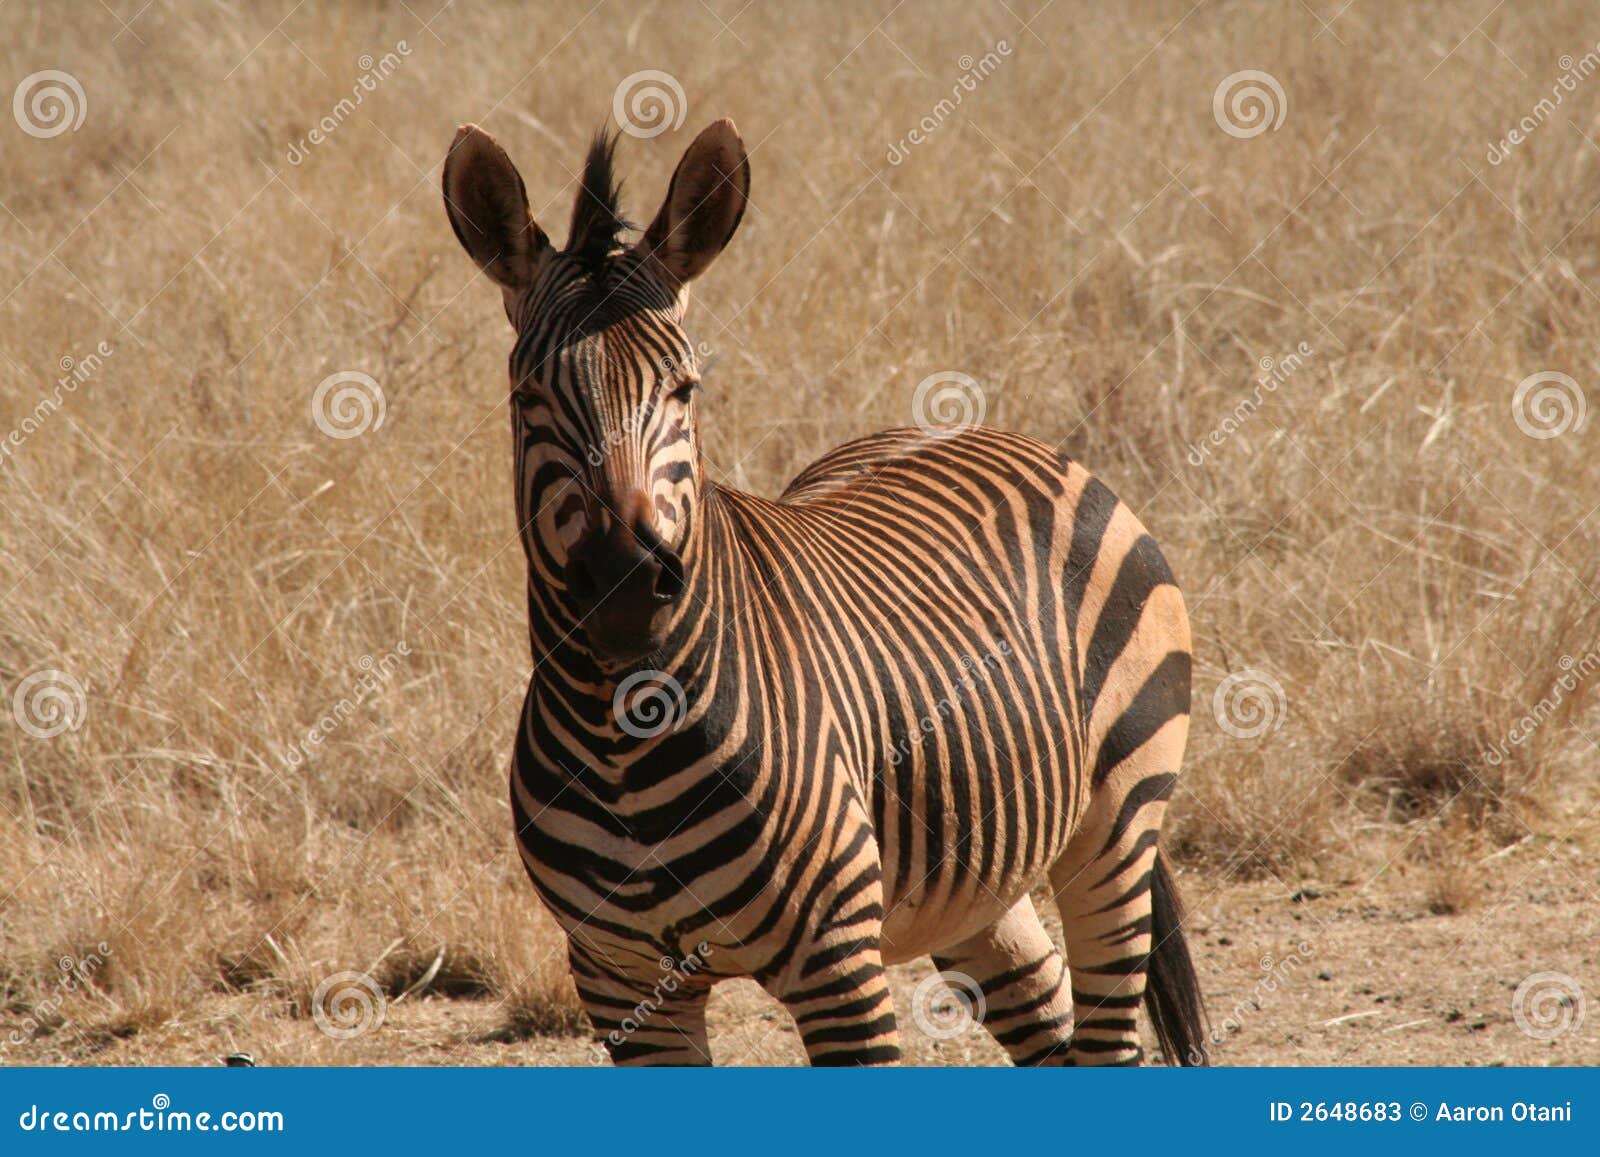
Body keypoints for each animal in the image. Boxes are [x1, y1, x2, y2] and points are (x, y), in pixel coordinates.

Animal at [441, 117, 1206, 1066]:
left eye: (686, 390)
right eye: (528, 395)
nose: (624, 584)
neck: (623, 733)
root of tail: (992, 431)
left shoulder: (837, 965)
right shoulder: (624, 983)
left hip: (1118, 821)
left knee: (1106, 1027)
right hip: (976, 878)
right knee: (1046, 1009)